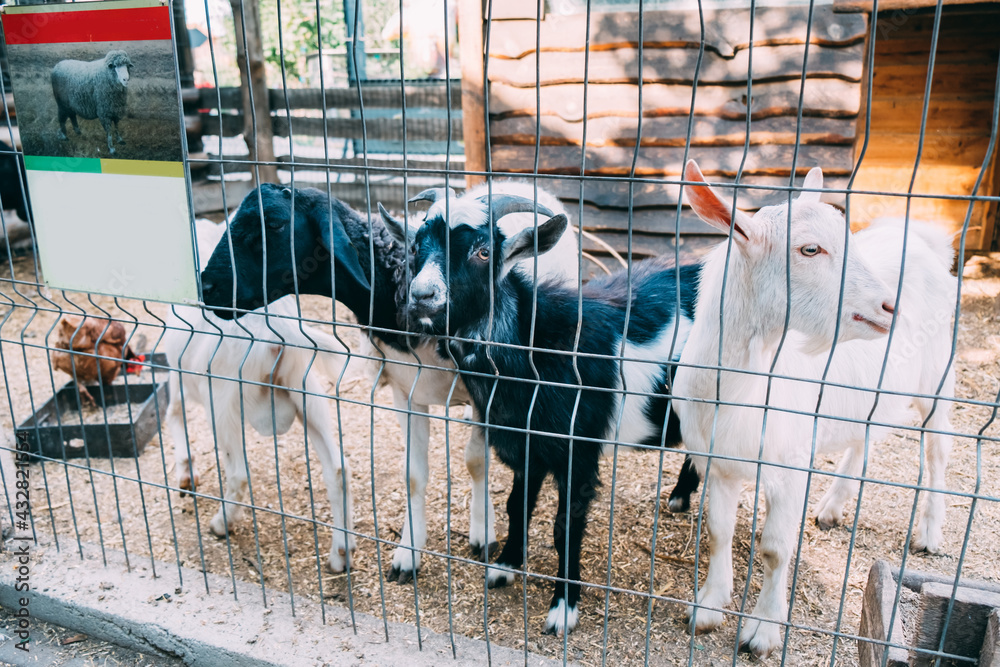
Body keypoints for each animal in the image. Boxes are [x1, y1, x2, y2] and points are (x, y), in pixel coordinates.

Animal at [165, 218, 356, 572]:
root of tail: (281, 329)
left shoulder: (179, 370)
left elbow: (173, 411)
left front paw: (185, 474)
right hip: (306, 389)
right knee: (338, 469)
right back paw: (341, 554)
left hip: (223, 401)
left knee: (238, 473)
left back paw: (220, 524)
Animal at [388, 205, 702, 636]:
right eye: (416, 247)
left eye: (483, 252)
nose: (422, 296)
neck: (535, 348)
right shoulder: (526, 446)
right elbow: (516, 506)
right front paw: (504, 566)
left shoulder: (578, 453)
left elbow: (564, 526)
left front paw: (563, 608)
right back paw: (680, 495)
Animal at [673, 160, 956, 657]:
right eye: (810, 249)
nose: (891, 306)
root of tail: (925, 243)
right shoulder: (716, 461)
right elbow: (718, 531)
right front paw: (707, 607)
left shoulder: (790, 465)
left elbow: (774, 548)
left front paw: (763, 632)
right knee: (867, 436)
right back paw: (833, 506)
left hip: (937, 375)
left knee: (937, 449)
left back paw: (929, 533)